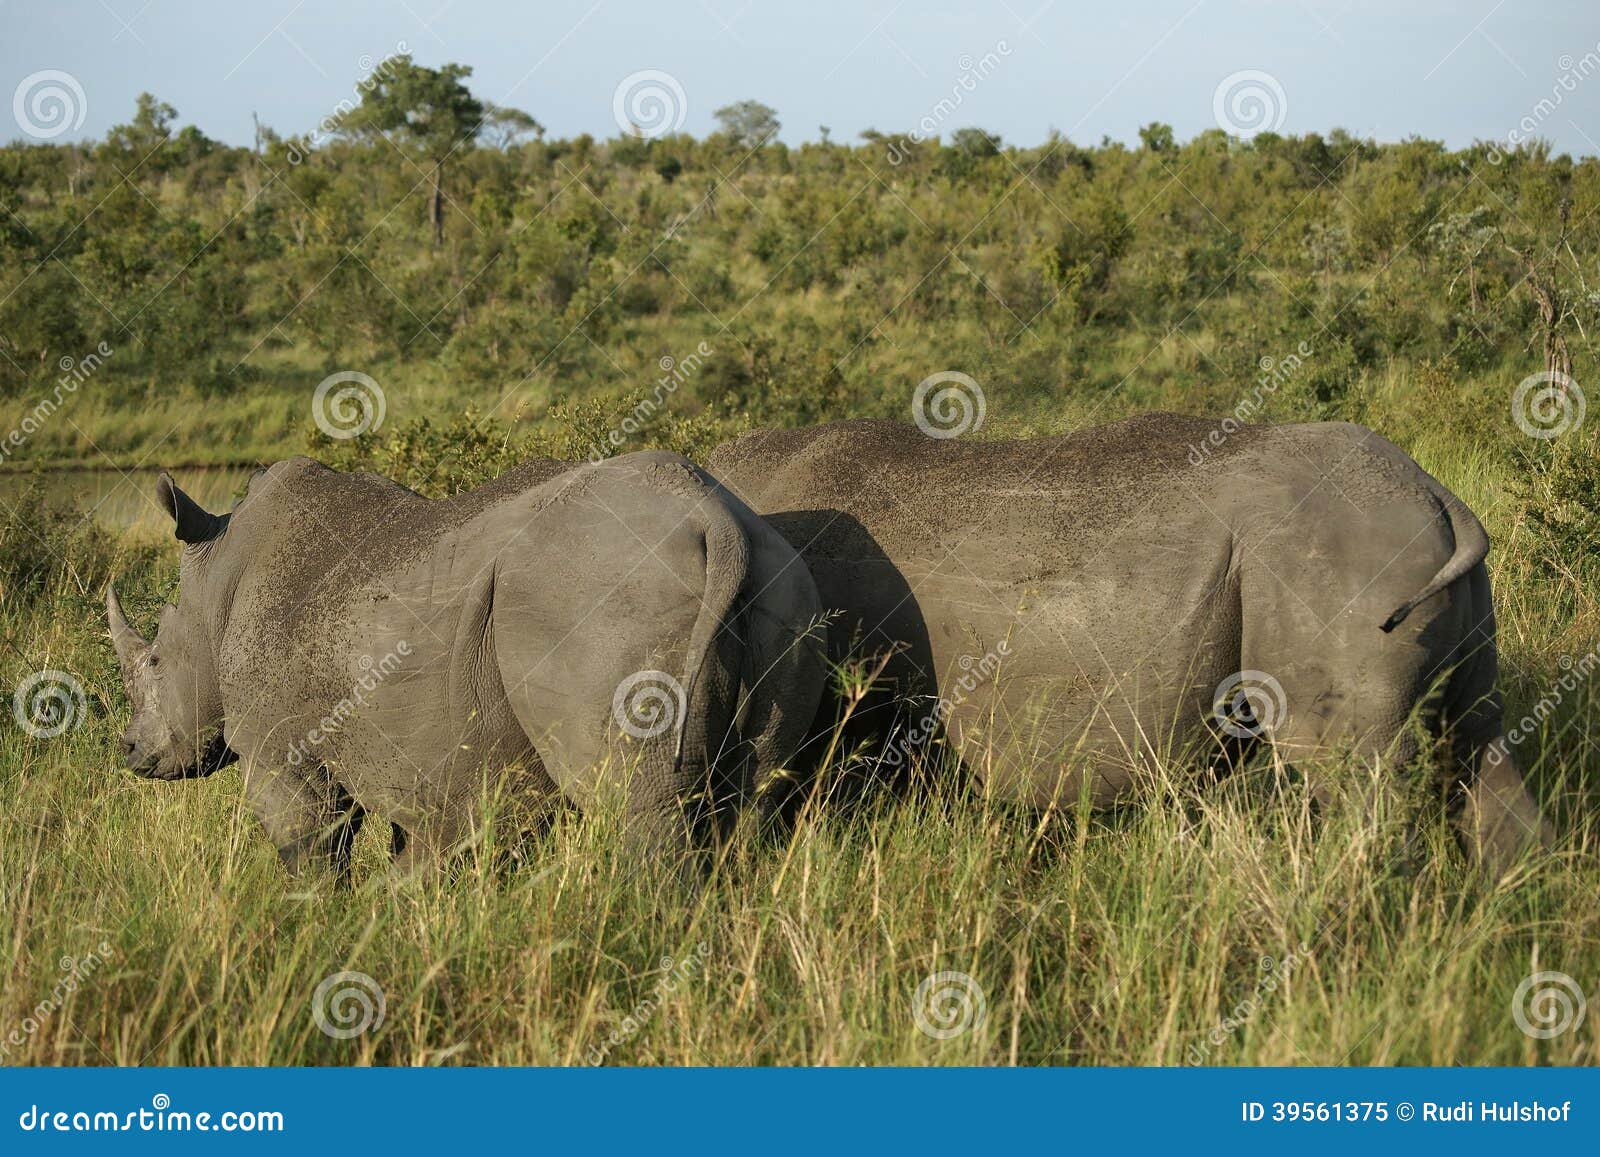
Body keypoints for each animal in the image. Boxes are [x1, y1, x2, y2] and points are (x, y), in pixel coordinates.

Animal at [106, 451, 826, 877]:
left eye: (155, 659)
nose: (130, 749)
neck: (217, 588)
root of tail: (717, 521)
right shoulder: (424, 755)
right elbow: (423, 849)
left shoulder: (278, 746)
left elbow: (308, 847)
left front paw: (311, 927)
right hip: (785, 584)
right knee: (757, 803)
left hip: (609, 593)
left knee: (635, 809)